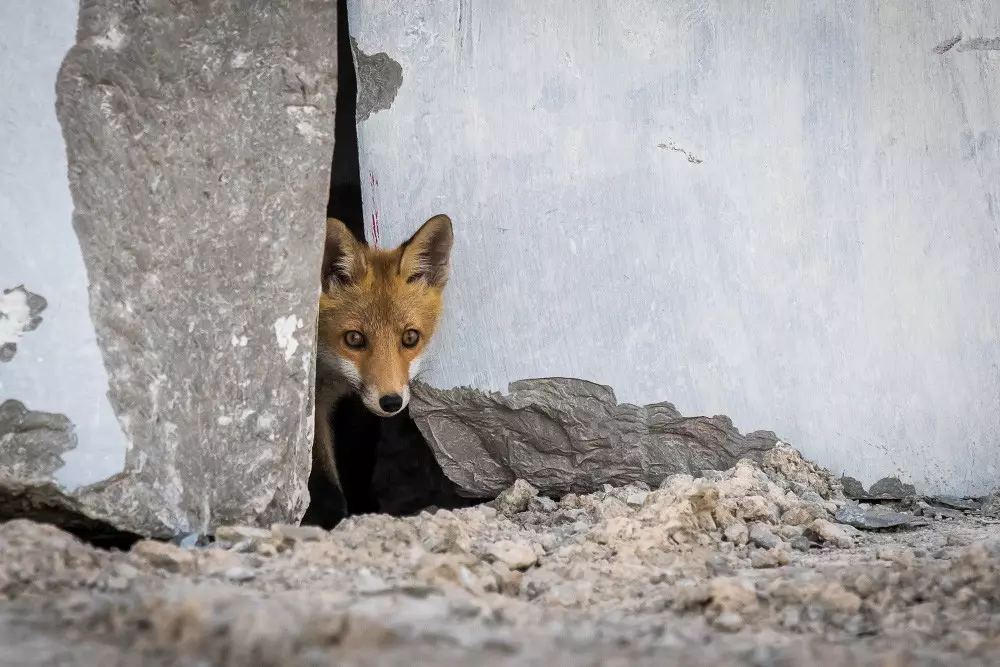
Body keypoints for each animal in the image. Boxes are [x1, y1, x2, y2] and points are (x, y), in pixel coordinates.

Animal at [302, 214, 456, 528]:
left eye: (410, 338)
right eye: (354, 338)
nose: (392, 402)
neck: (331, 375)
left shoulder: (356, 408)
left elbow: (357, 464)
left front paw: (365, 509)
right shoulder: (316, 405)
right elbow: (324, 480)